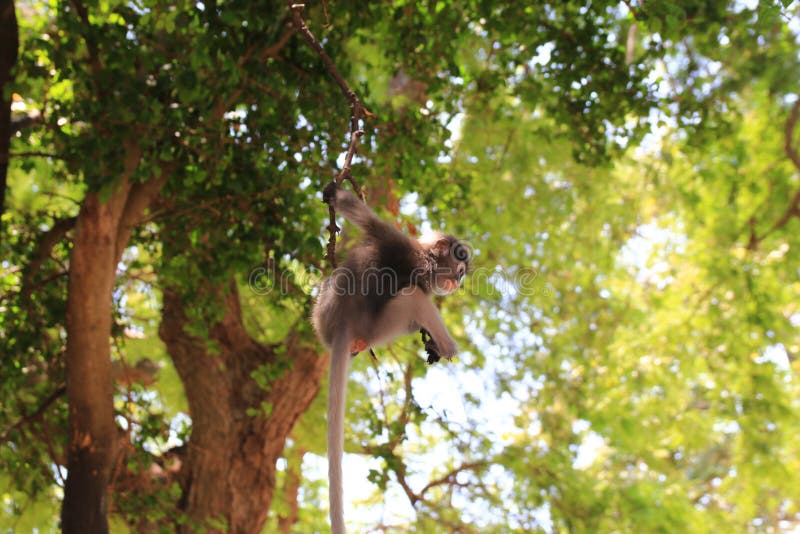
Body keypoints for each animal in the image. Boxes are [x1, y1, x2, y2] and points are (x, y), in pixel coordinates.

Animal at [312, 182, 469, 534]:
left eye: (463, 271)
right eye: (460, 259)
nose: (461, 278)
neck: (426, 259)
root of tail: (342, 324)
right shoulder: (402, 244)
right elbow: (364, 218)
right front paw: (335, 192)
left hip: (327, 318)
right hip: (378, 326)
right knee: (413, 296)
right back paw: (447, 346)